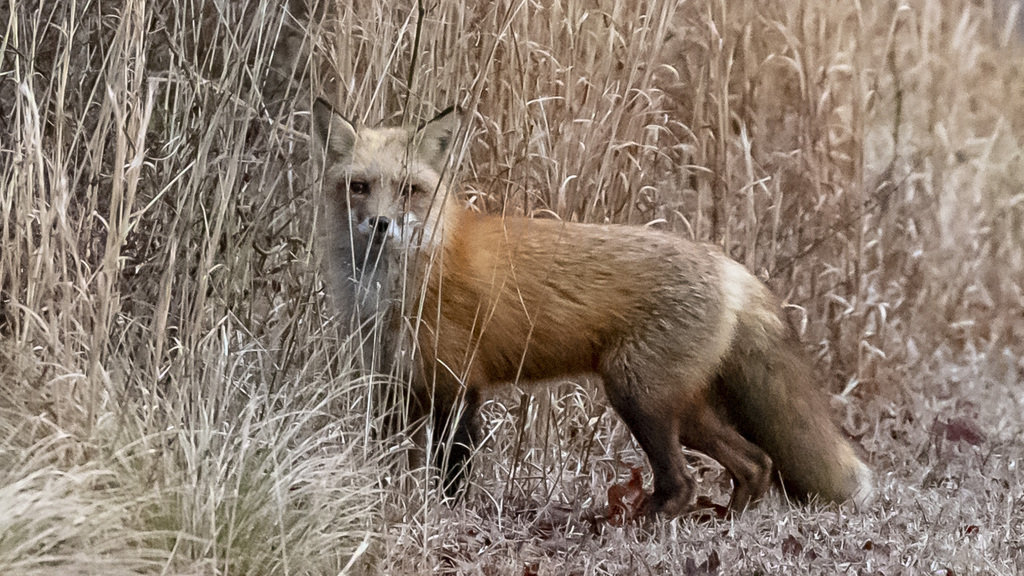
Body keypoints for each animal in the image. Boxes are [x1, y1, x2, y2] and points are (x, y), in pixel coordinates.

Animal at [310, 99, 874, 518]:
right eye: (359, 187)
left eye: (410, 191)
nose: (380, 223)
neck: (403, 280)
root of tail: (725, 263)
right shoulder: (395, 382)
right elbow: (392, 458)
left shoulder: (457, 385)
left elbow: (452, 473)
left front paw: (444, 517)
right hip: (681, 407)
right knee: (756, 463)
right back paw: (727, 522)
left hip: (639, 396)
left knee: (684, 482)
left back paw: (643, 523)